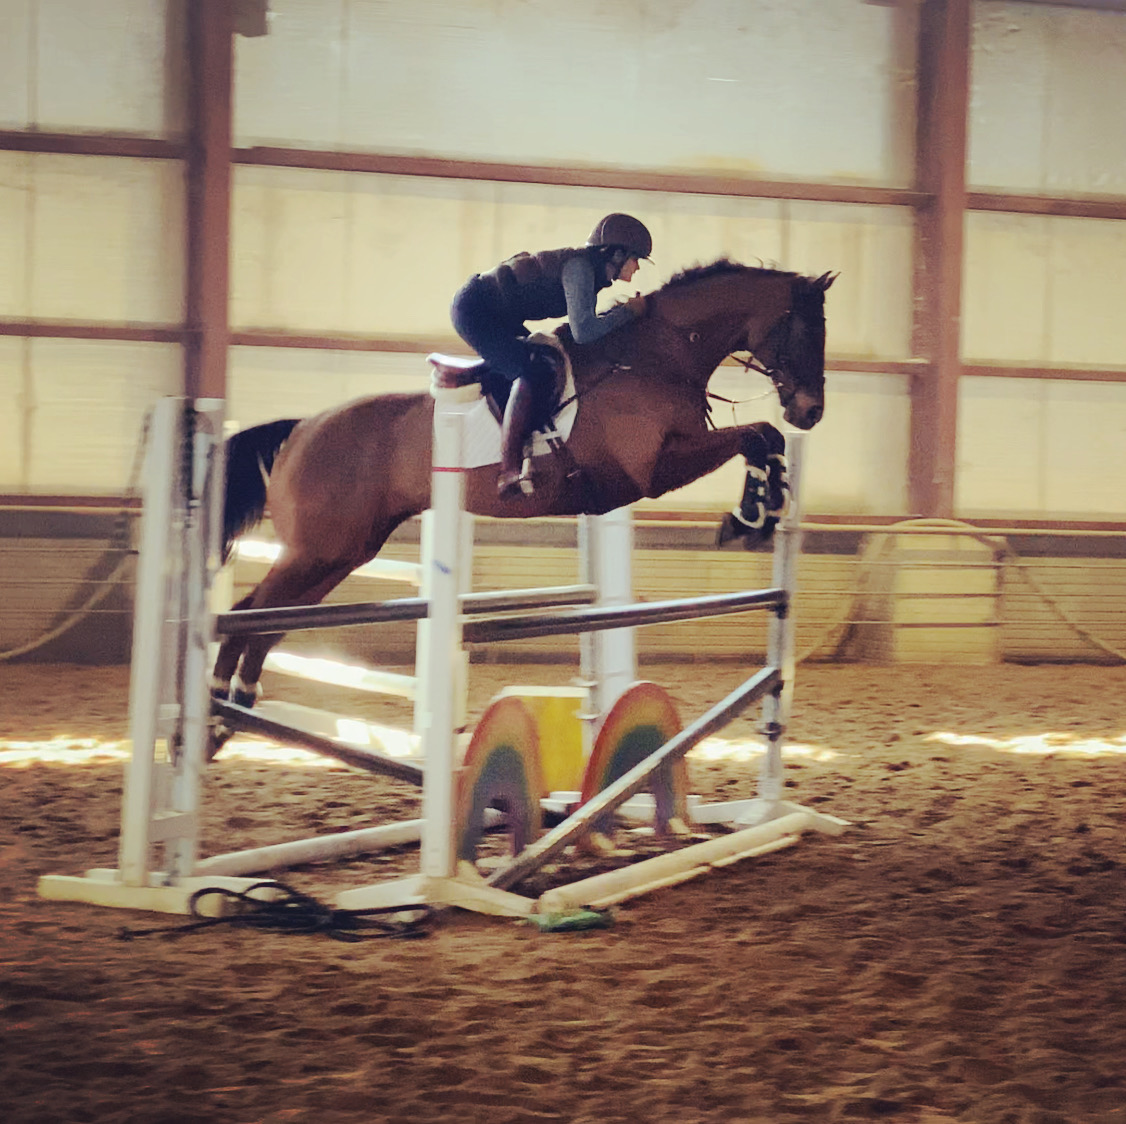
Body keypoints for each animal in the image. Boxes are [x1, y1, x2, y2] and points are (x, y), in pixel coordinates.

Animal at [210, 259, 835, 751]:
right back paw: (216, 708)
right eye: (805, 329)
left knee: (269, 621)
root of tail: (302, 428)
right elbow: (754, 435)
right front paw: (750, 514)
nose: (810, 413)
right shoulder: (652, 471)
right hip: (318, 550)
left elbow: (765, 439)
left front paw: (765, 505)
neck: (653, 356)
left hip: (341, 553)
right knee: (248, 614)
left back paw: (238, 702)